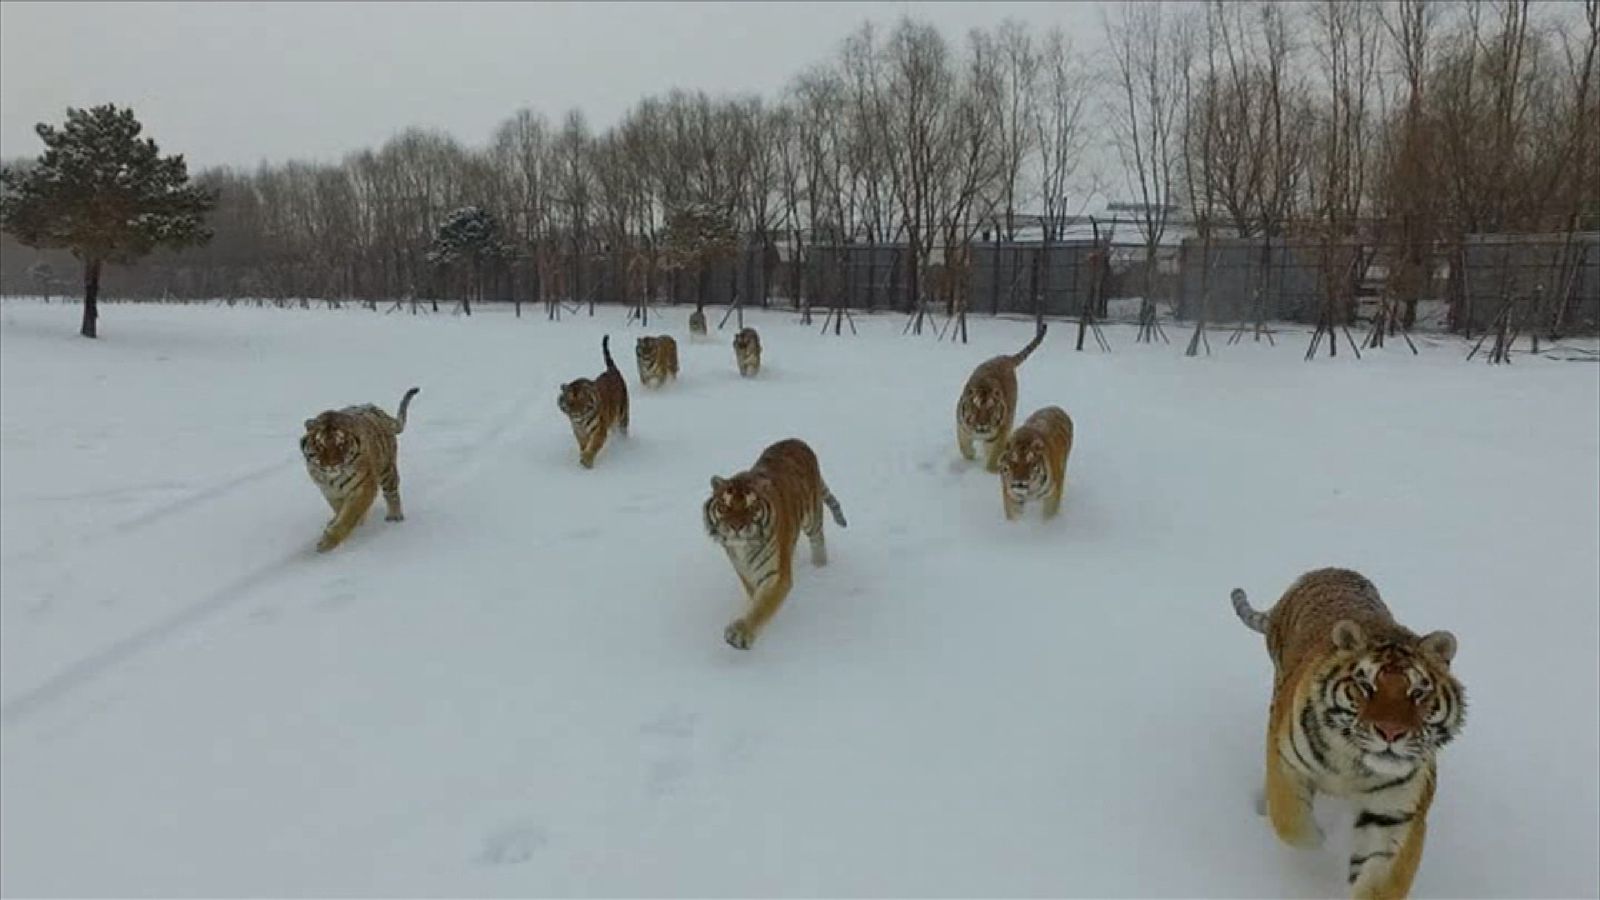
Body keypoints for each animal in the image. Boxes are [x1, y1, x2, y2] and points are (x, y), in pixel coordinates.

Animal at [300, 386, 420, 553]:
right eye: (320, 445)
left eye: (341, 445)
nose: (332, 464)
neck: (331, 478)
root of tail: (377, 410)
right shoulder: (330, 491)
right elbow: (340, 510)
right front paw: (337, 522)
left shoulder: (363, 488)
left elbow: (349, 516)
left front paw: (327, 543)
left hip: (387, 470)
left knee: (392, 494)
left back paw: (395, 517)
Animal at [557, 334, 629, 469]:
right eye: (570, 402)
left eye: (582, 401)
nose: (575, 414)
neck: (581, 422)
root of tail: (612, 370)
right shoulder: (578, 431)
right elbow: (584, 444)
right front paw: (582, 455)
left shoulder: (599, 429)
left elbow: (594, 445)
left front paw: (587, 460)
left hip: (622, 416)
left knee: (623, 431)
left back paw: (623, 444)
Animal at [703, 438, 847, 650]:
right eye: (724, 506)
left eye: (751, 507)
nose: (736, 527)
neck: (744, 549)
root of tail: (796, 440)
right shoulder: (743, 570)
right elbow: (755, 596)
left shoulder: (775, 575)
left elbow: (763, 605)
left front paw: (741, 633)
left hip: (813, 517)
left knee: (818, 542)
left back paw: (820, 567)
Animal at [956, 320, 1047, 471]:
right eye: (975, 407)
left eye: (991, 409)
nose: (982, 425)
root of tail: (1005, 357)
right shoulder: (962, 428)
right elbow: (964, 447)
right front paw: (971, 457)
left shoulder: (1000, 433)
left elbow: (994, 454)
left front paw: (990, 470)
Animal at [1231, 568, 1465, 900]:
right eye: (1365, 686)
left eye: (1418, 692)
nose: (1391, 732)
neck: (1354, 765)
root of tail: (1326, 570)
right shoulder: (1287, 763)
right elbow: (1292, 825)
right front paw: (1319, 853)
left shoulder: (1394, 815)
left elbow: (1380, 882)